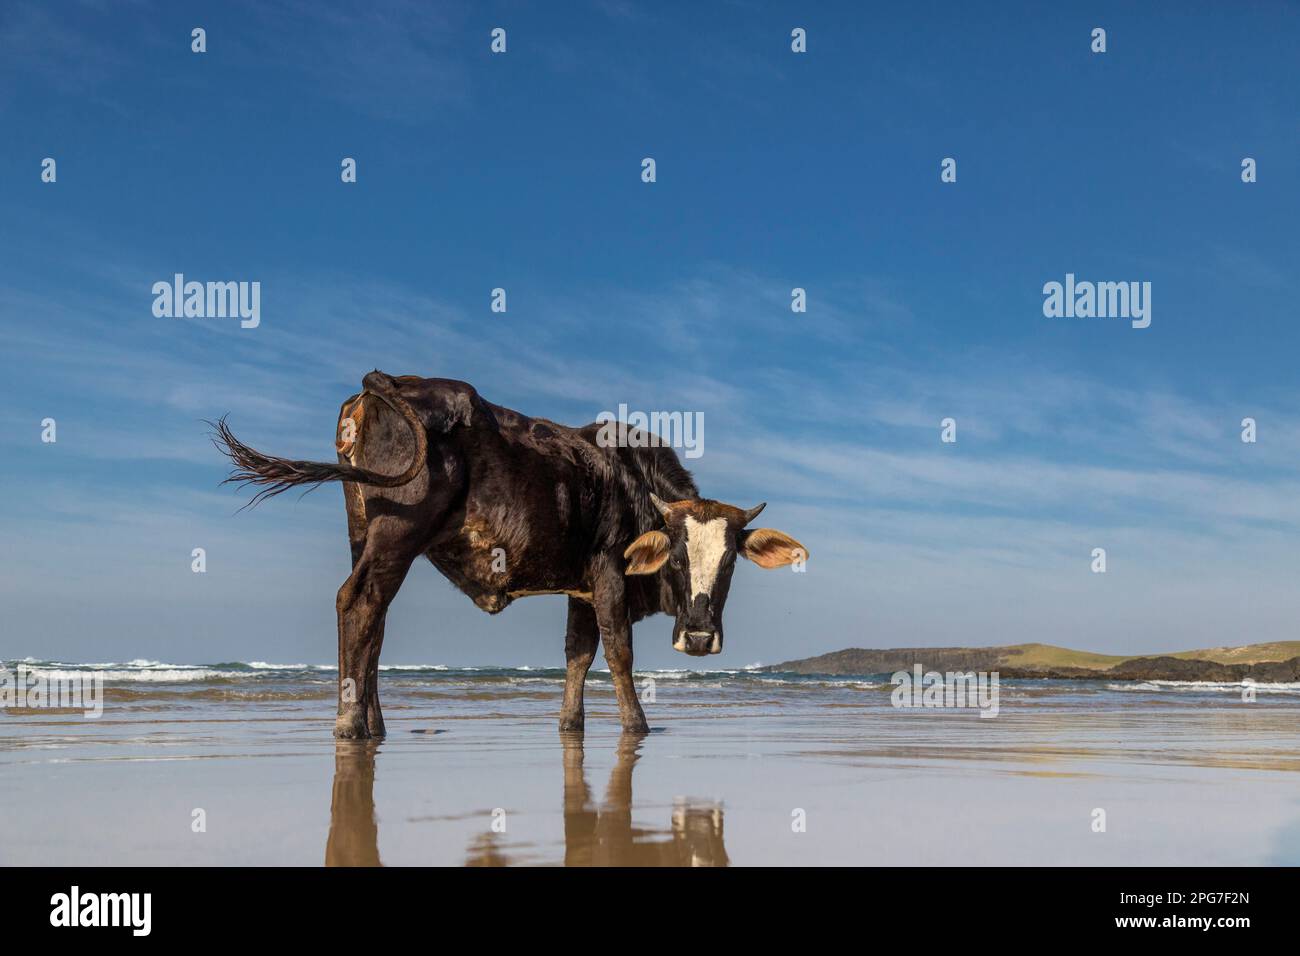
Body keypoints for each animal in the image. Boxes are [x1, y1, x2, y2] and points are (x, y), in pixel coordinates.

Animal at [214, 371, 806, 738]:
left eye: (729, 562)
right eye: (679, 558)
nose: (701, 638)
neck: (633, 483)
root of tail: (391, 380)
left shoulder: (579, 589)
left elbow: (577, 654)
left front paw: (570, 725)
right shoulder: (608, 574)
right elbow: (618, 651)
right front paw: (636, 725)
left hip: (362, 532)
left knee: (373, 622)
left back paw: (374, 724)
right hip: (396, 534)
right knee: (358, 603)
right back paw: (350, 724)